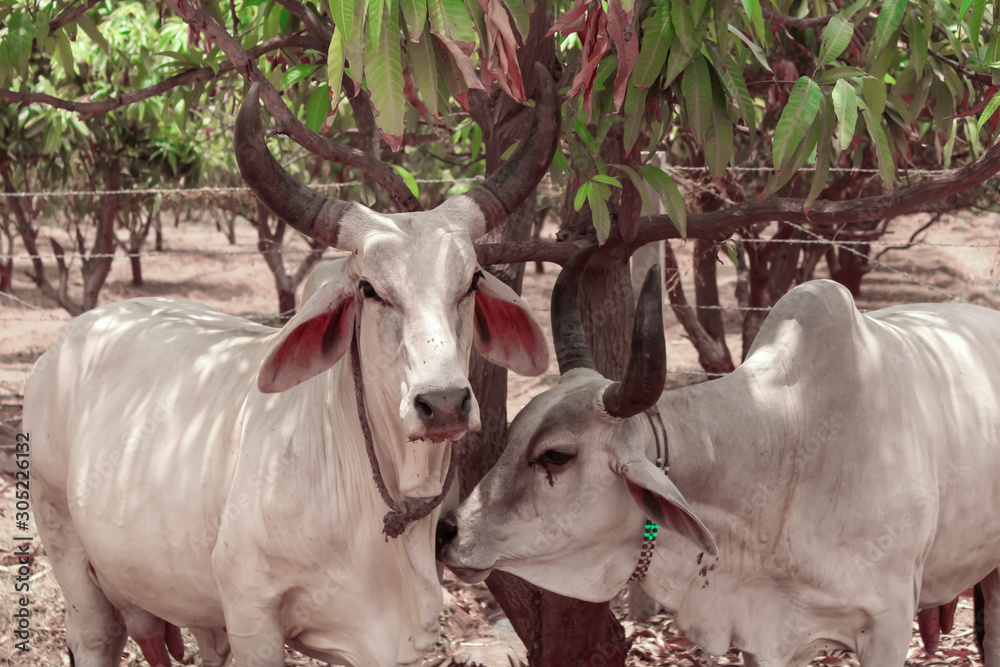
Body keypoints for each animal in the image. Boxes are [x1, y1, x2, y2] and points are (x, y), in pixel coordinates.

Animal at [23, 66, 558, 667]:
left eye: (470, 282)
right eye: (370, 289)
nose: (442, 403)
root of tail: (67, 340)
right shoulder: (253, 613)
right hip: (63, 537)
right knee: (96, 632)